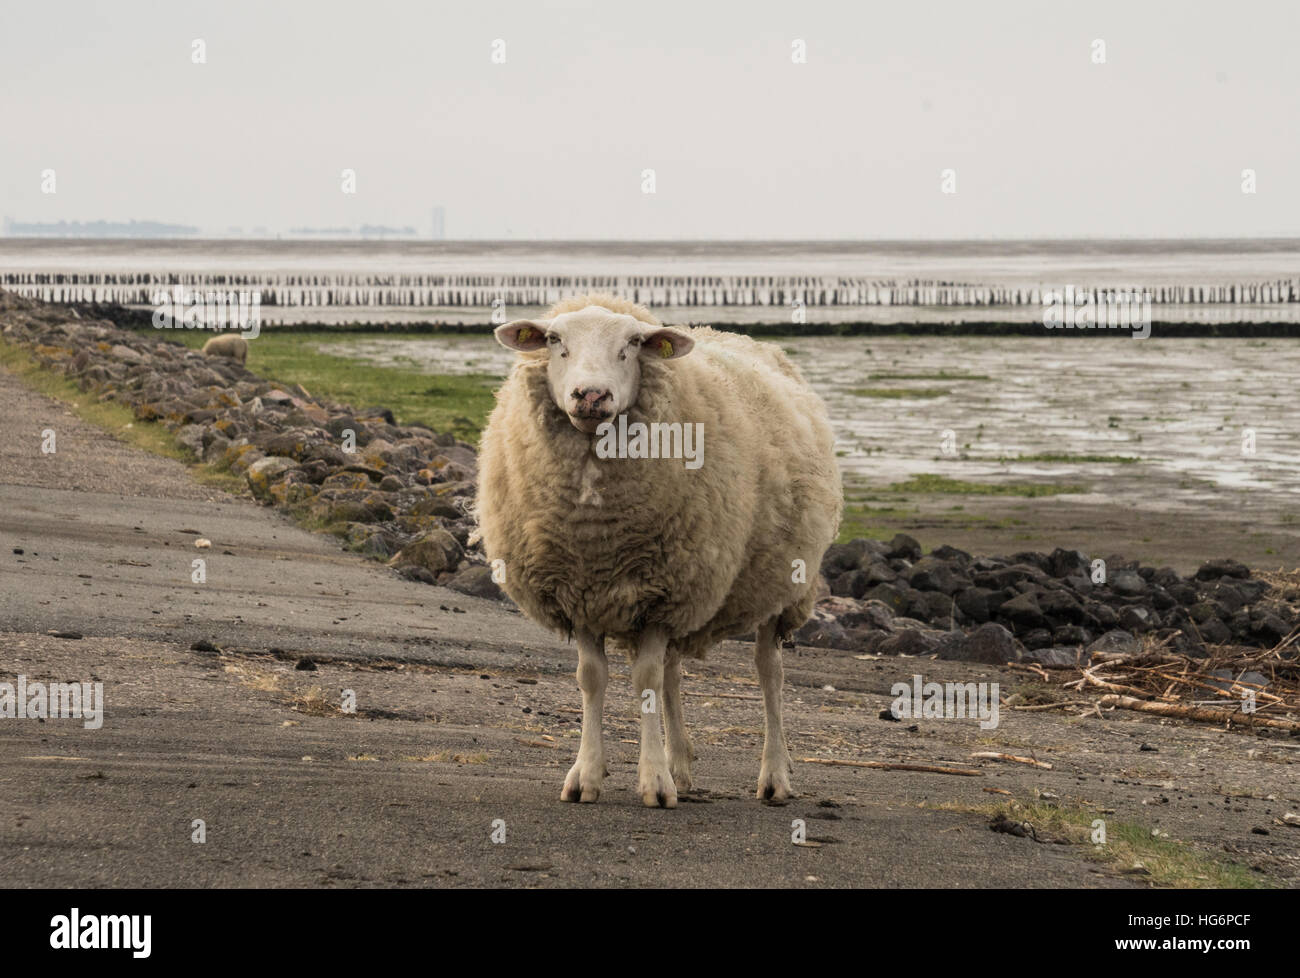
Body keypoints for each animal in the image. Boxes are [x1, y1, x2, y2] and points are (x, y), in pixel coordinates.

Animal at [477, 293, 842, 807]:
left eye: (632, 343)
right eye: (552, 339)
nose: (591, 396)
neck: (597, 534)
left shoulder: (662, 592)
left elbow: (645, 680)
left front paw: (653, 782)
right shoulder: (584, 592)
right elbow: (592, 678)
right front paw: (587, 775)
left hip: (782, 581)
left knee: (768, 672)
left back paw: (774, 776)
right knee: (673, 672)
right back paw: (681, 766)